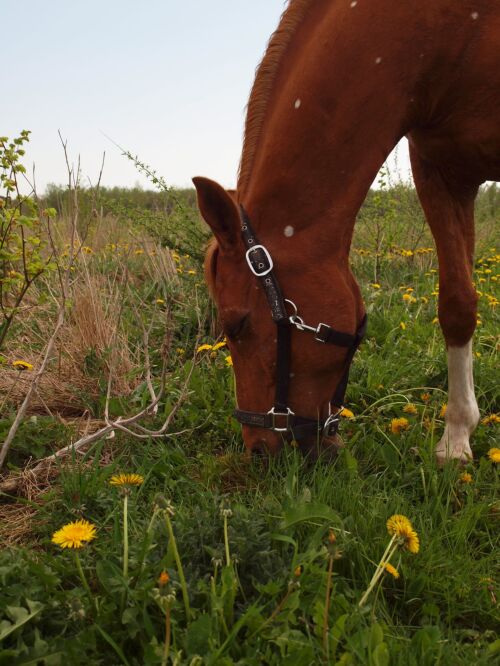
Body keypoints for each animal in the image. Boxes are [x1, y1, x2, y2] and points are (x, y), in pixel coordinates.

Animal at [193, 0, 499, 462]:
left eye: (237, 325)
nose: (258, 450)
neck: (451, 34)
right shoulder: (440, 172)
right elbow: (457, 304)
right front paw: (456, 436)